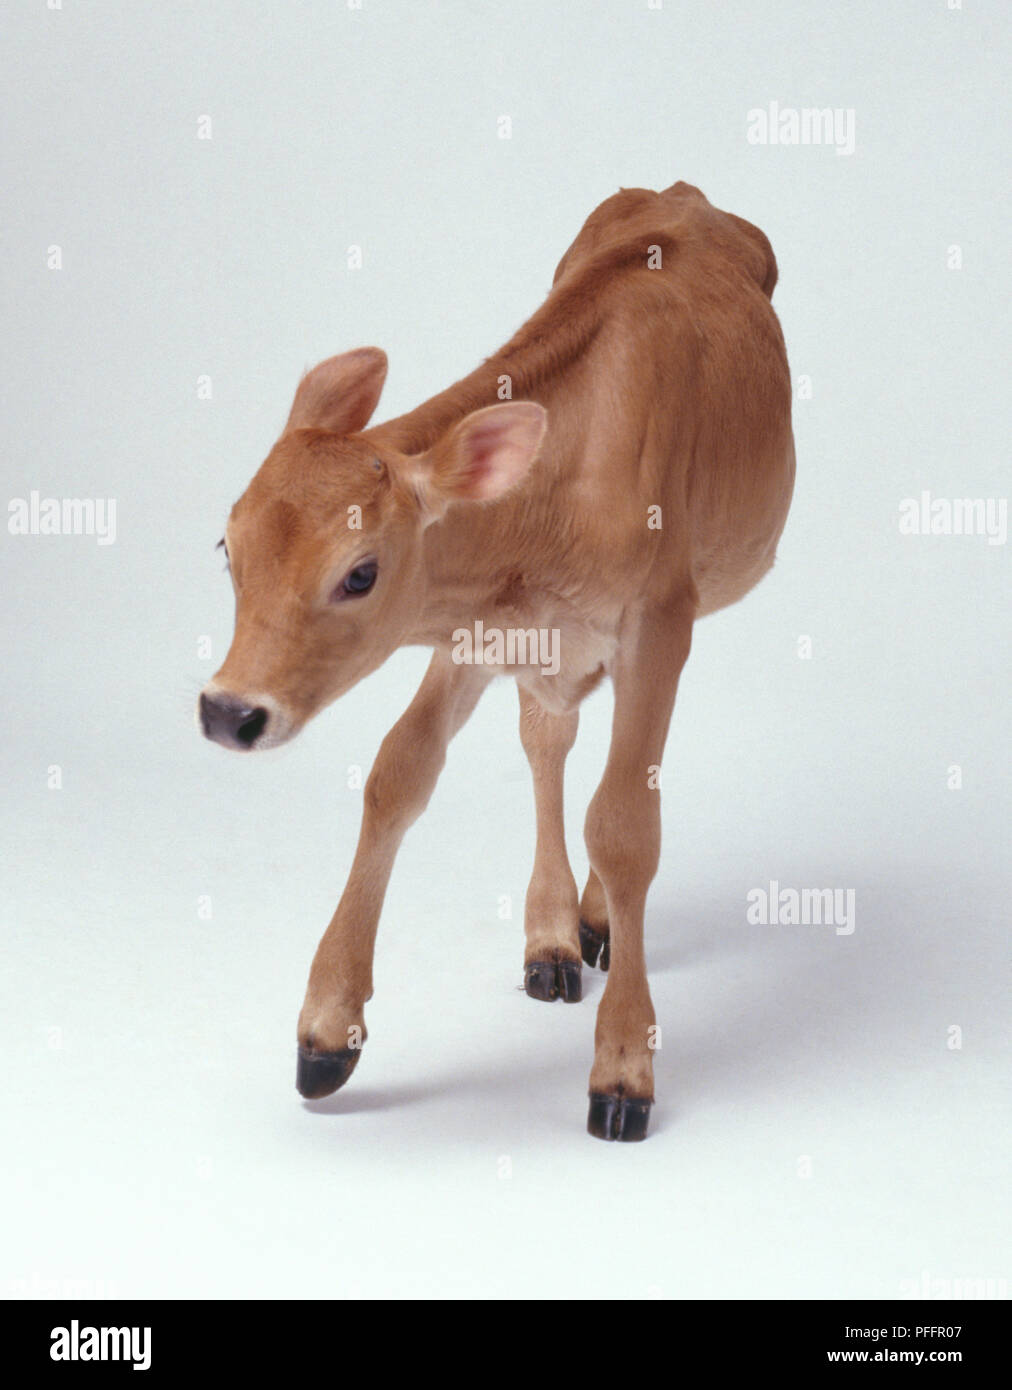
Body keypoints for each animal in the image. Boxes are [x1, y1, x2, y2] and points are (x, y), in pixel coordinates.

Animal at [198, 181, 795, 1141]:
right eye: (228, 545)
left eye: (360, 573)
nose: (226, 710)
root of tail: (682, 194)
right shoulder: (477, 625)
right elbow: (399, 773)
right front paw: (329, 1024)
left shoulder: (659, 622)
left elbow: (626, 824)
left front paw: (624, 1064)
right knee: (549, 743)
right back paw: (557, 933)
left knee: (619, 778)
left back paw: (594, 921)